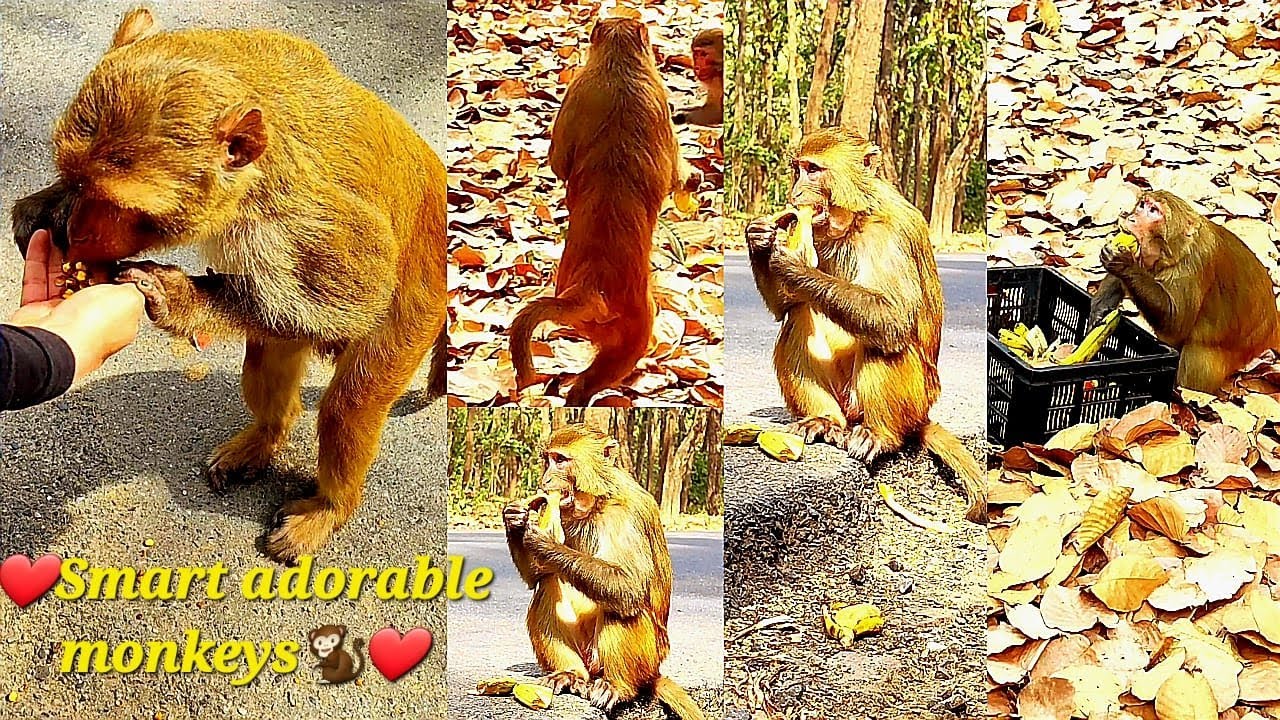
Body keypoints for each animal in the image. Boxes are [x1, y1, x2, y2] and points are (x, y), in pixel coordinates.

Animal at [10, 8, 447, 562]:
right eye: (81, 181)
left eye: (120, 205)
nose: (81, 231)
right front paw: (44, 207)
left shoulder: (309, 213)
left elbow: (356, 296)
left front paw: (180, 299)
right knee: (269, 354)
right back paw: (266, 437)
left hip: (419, 308)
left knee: (350, 402)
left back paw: (330, 507)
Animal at [502, 425, 705, 720]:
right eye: (547, 459)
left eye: (561, 460)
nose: (546, 478)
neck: (595, 501)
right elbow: (537, 576)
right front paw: (515, 518)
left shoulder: (625, 515)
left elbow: (629, 587)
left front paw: (544, 543)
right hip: (588, 658)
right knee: (549, 584)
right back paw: (569, 674)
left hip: (645, 661)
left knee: (622, 606)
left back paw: (618, 687)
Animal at [510, 17, 687, 406]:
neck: (618, 67)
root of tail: (590, 290)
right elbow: (675, 174)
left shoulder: (574, 95)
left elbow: (560, 161)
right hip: (635, 330)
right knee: (596, 377)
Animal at [745, 128, 985, 523]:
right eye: (798, 169)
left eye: (813, 170)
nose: (795, 193)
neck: (854, 217)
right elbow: (788, 307)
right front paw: (760, 237)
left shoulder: (889, 234)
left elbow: (894, 320)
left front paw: (792, 263)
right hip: (845, 401)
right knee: (800, 317)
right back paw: (824, 421)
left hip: (911, 403)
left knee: (885, 341)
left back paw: (880, 434)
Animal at [1087, 190, 1280, 393]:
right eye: (1142, 205)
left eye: (1154, 211)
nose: (1131, 217)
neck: (1173, 253)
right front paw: (1101, 307)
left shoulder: (1193, 266)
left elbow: (1176, 324)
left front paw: (1125, 265)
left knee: (1198, 357)